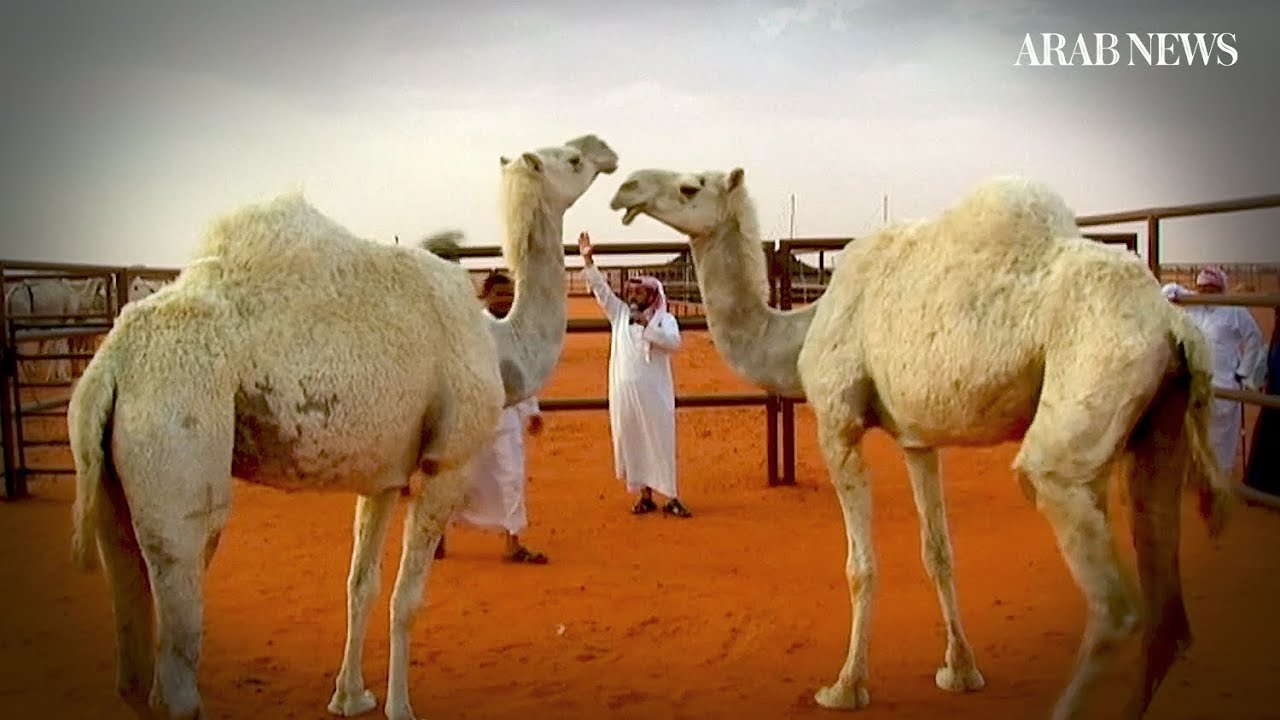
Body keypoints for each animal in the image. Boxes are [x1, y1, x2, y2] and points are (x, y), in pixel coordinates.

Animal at [67, 134, 618, 720]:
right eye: (572, 160)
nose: (605, 149)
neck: (498, 347)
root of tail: (110, 366)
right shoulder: (448, 462)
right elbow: (407, 598)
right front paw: (400, 706)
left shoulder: (384, 477)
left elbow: (361, 585)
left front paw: (351, 696)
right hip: (179, 444)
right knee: (176, 667)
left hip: (111, 479)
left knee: (130, 655)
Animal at [609, 168, 1228, 719]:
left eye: (690, 186)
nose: (625, 189)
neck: (801, 332)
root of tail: (1176, 325)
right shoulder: (916, 439)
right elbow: (938, 553)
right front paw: (961, 671)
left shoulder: (837, 423)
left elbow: (861, 565)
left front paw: (845, 687)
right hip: (1157, 430)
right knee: (1168, 619)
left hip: (1080, 415)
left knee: (1114, 607)